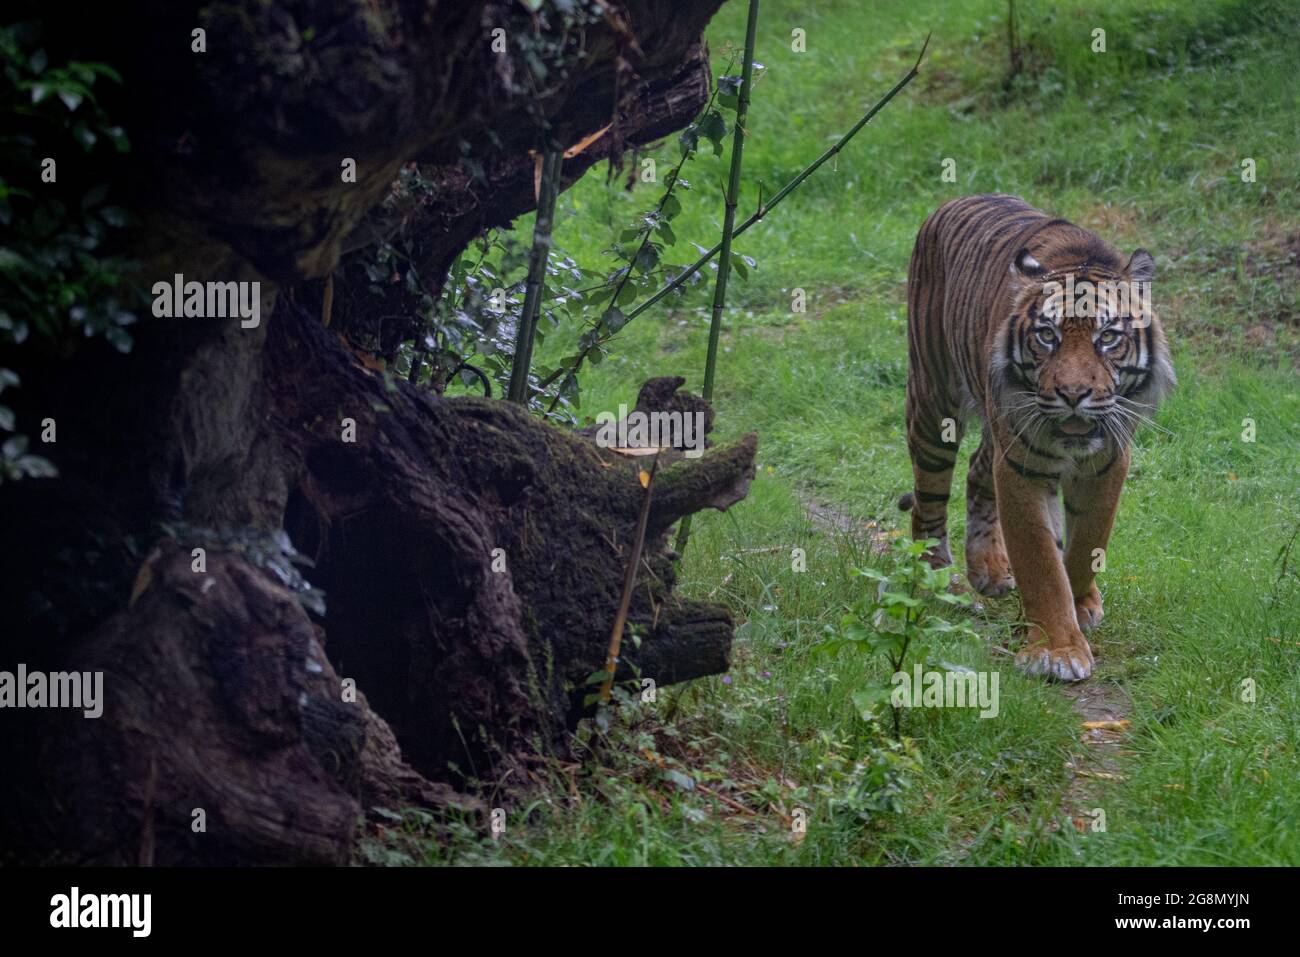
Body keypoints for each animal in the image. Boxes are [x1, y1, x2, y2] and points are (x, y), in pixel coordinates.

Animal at [899, 194, 1174, 681]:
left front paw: (1082, 604)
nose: (1073, 394)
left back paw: (989, 569)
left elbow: (1086, 543)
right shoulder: (1021, 464)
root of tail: (956, 199)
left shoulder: (1108, 462)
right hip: (933, 399)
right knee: (929, 498)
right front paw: (1057, 649)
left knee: (976, 470)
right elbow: (1041, 560)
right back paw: (935, 578)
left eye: (1108, 338)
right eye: (1048, 336)